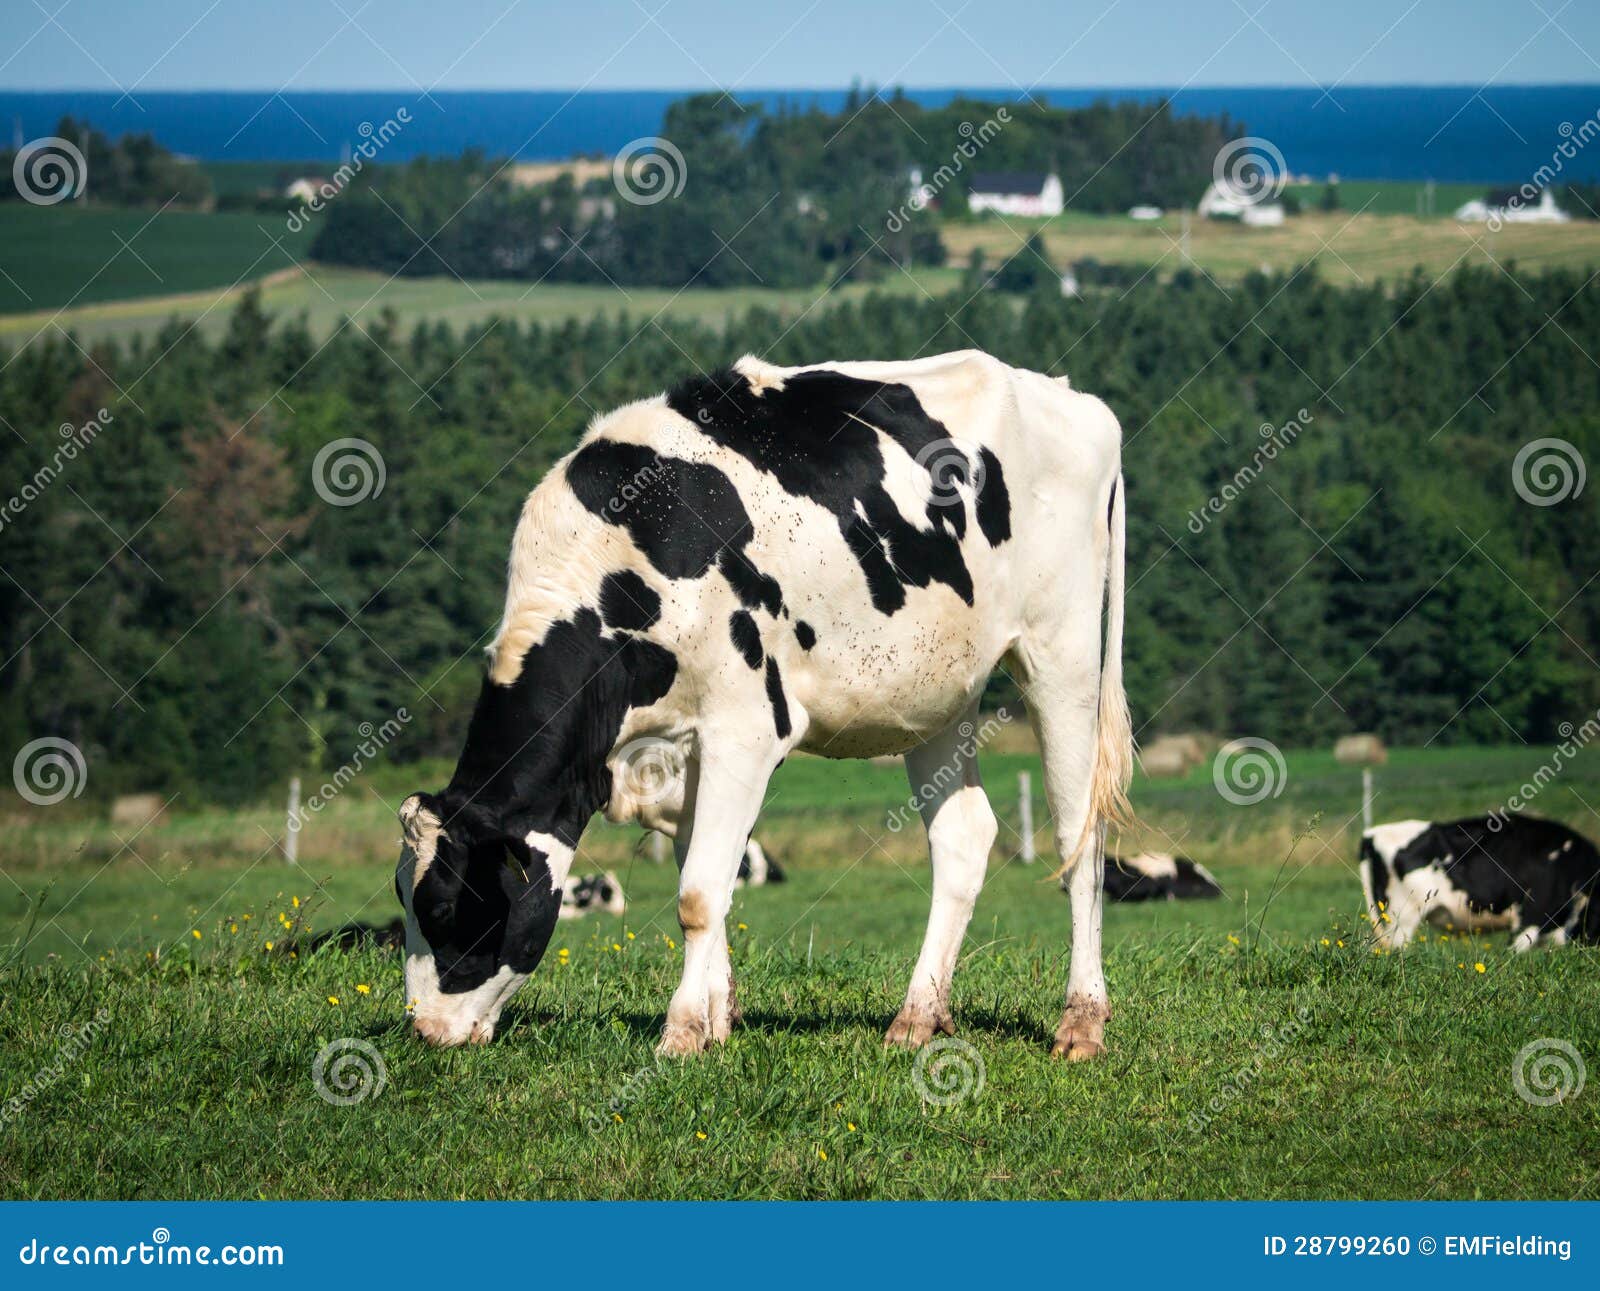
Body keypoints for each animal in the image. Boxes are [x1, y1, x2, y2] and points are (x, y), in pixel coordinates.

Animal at [395, 350, 1131, 1057]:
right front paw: (717, 1019)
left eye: (447, 910)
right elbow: (708, 877)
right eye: (403, 899)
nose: (424, 1031)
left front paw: (682, 1034)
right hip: (939, 689)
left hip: (1061, 652)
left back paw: (1081, 1023)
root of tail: (1070, 397)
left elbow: (697, 893)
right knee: (963, 838)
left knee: (1079, 835)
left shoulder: (745, 727)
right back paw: (917, 1017)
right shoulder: (685, 746)